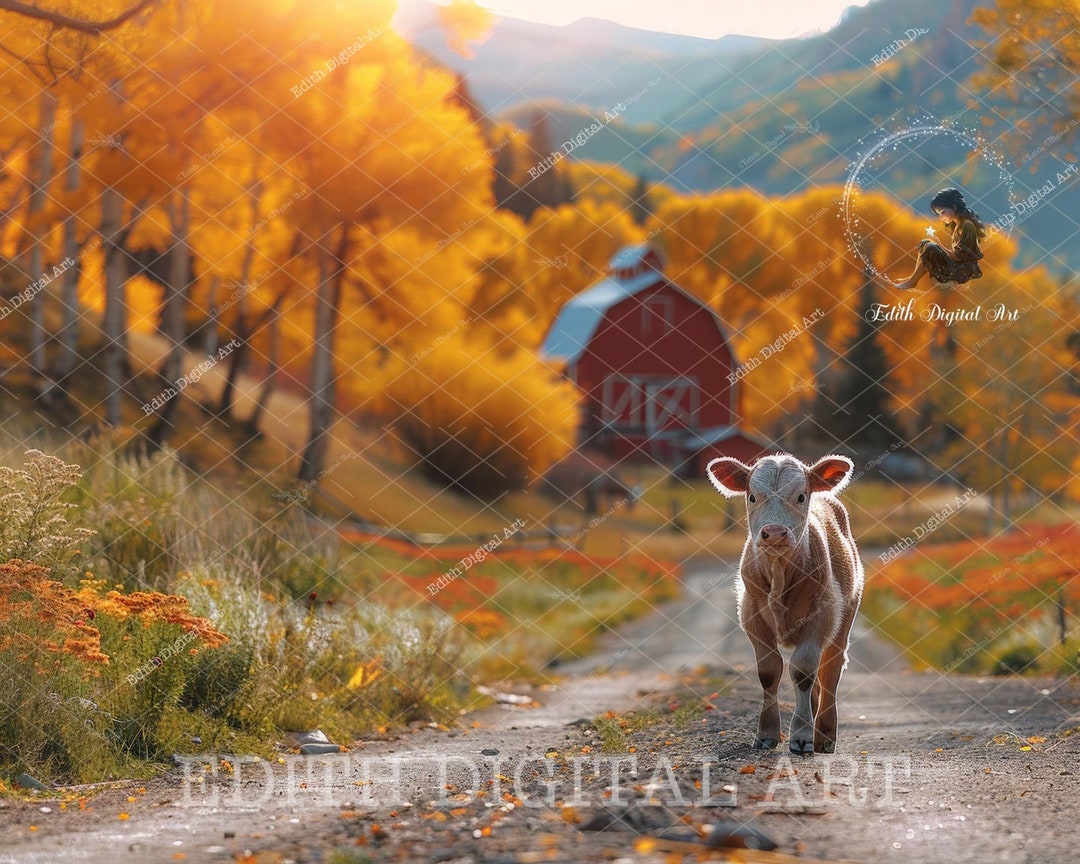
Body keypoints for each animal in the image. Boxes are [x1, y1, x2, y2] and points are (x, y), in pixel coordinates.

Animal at [706, 453, 864, 755]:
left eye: (801, 496)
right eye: (752, 496)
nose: (775, 532)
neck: (779, 573)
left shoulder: (821, 615)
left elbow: (803, 671)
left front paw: (801, 736)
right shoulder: (752, 616)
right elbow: (769, 672)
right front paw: (767, 733)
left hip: (845, 615)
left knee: (830, 668)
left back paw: (825, 735)